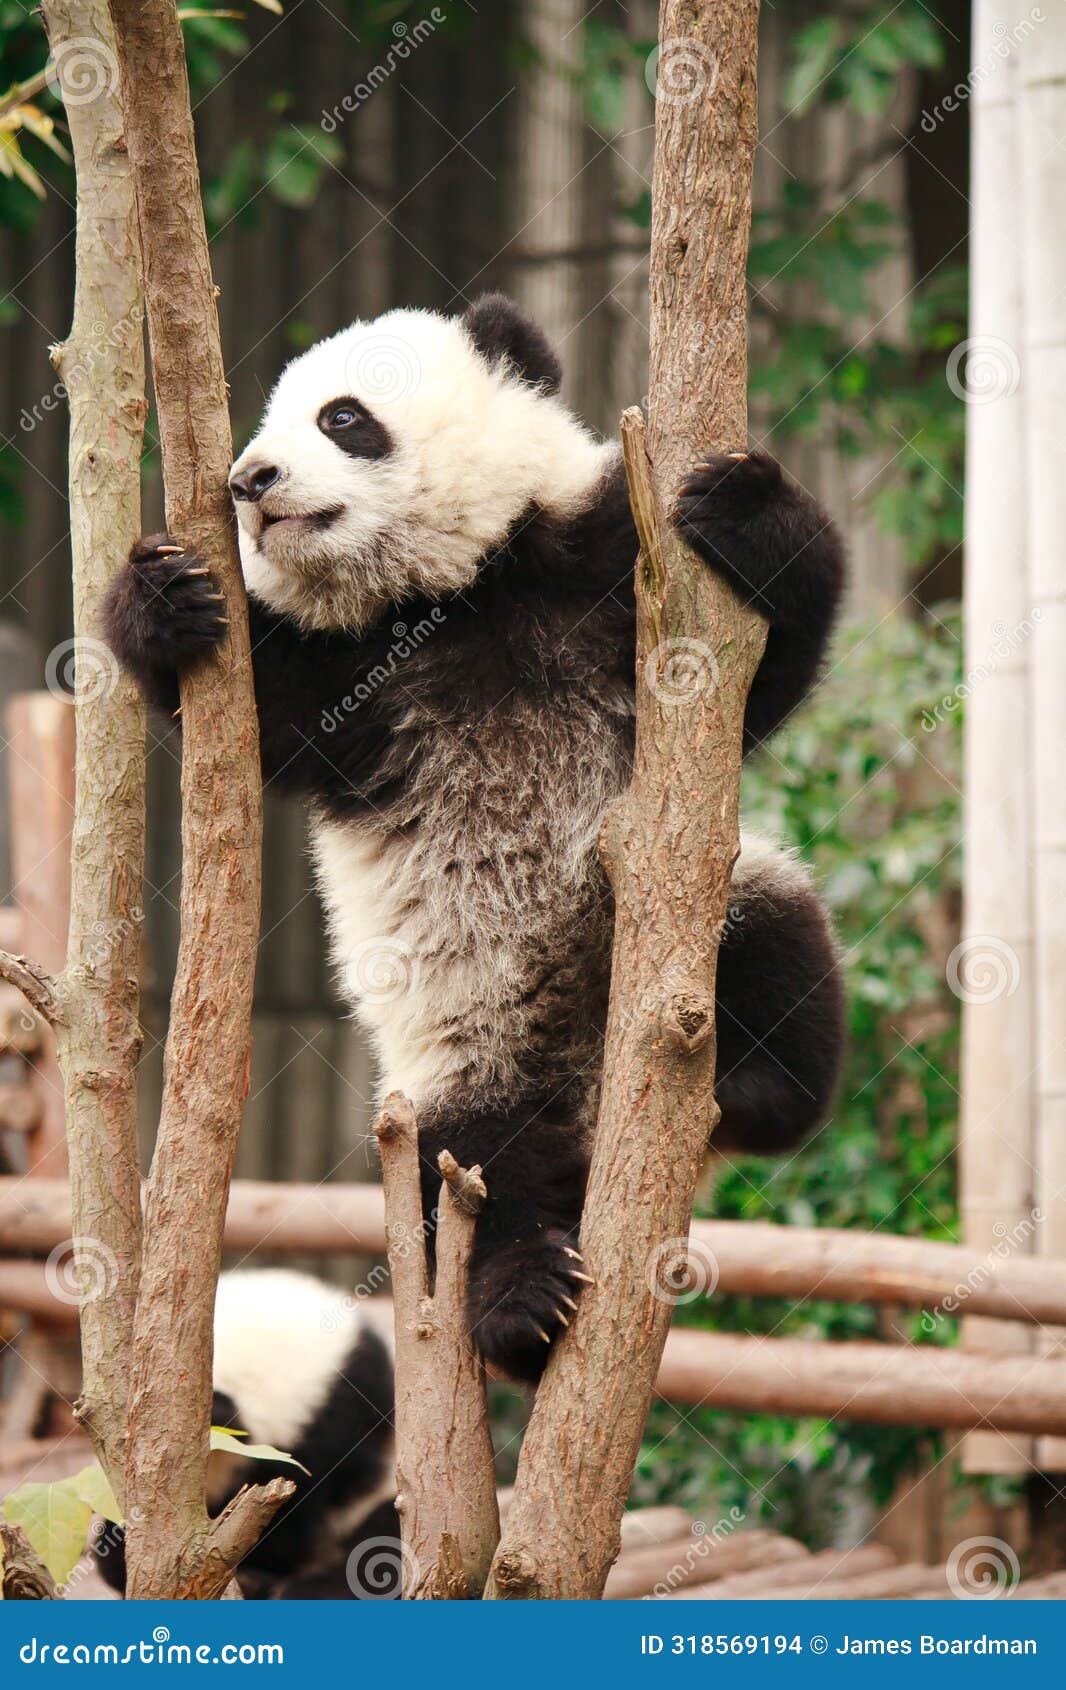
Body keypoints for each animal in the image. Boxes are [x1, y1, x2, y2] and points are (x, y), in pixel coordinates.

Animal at [105, 293, 847, 1387]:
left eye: (342, 418)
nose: (249, 482)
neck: (457, 596)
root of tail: (592, 1099)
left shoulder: (600, 579)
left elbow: (765, 667)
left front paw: (745, 508)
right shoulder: (353, 688)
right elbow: (258, 701)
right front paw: (161, 601)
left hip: (724, 912)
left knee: (774, 944)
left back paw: (754, 1081)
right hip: (455, 1078)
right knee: (485, 1179)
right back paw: (525, 1307)